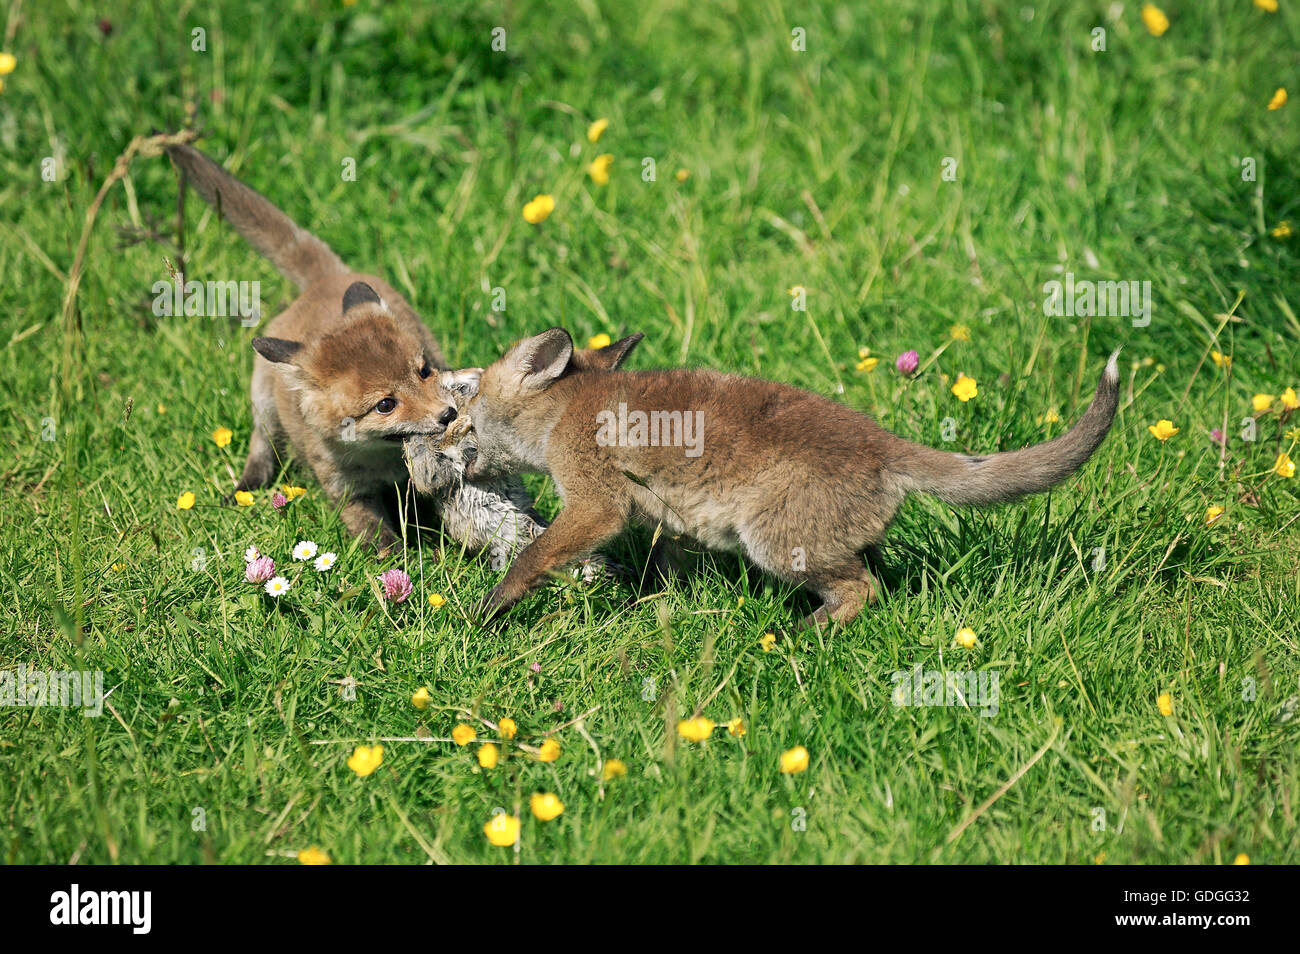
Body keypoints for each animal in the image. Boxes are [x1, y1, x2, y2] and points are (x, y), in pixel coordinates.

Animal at [164, 142, 538, 555]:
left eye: (423, 371)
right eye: (385, 404)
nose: (448, 414)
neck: (382, 465)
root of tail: (325, 280)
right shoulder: (347, 490)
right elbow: (376, 535)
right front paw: (402, 563)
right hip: (263, 403)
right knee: (261, 447)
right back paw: (245, 487)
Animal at [461, 328, 1120, 626]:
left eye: (465, 407)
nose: (453, 448)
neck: (565, 412)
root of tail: (884, 443)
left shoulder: (596, 503)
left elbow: (533, 557)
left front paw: (488, 611)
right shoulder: (671, 523)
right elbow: (665, 572)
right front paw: (659, 608)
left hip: (777, 544)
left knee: (861, 590)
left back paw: (805, 632)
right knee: (877, 576)